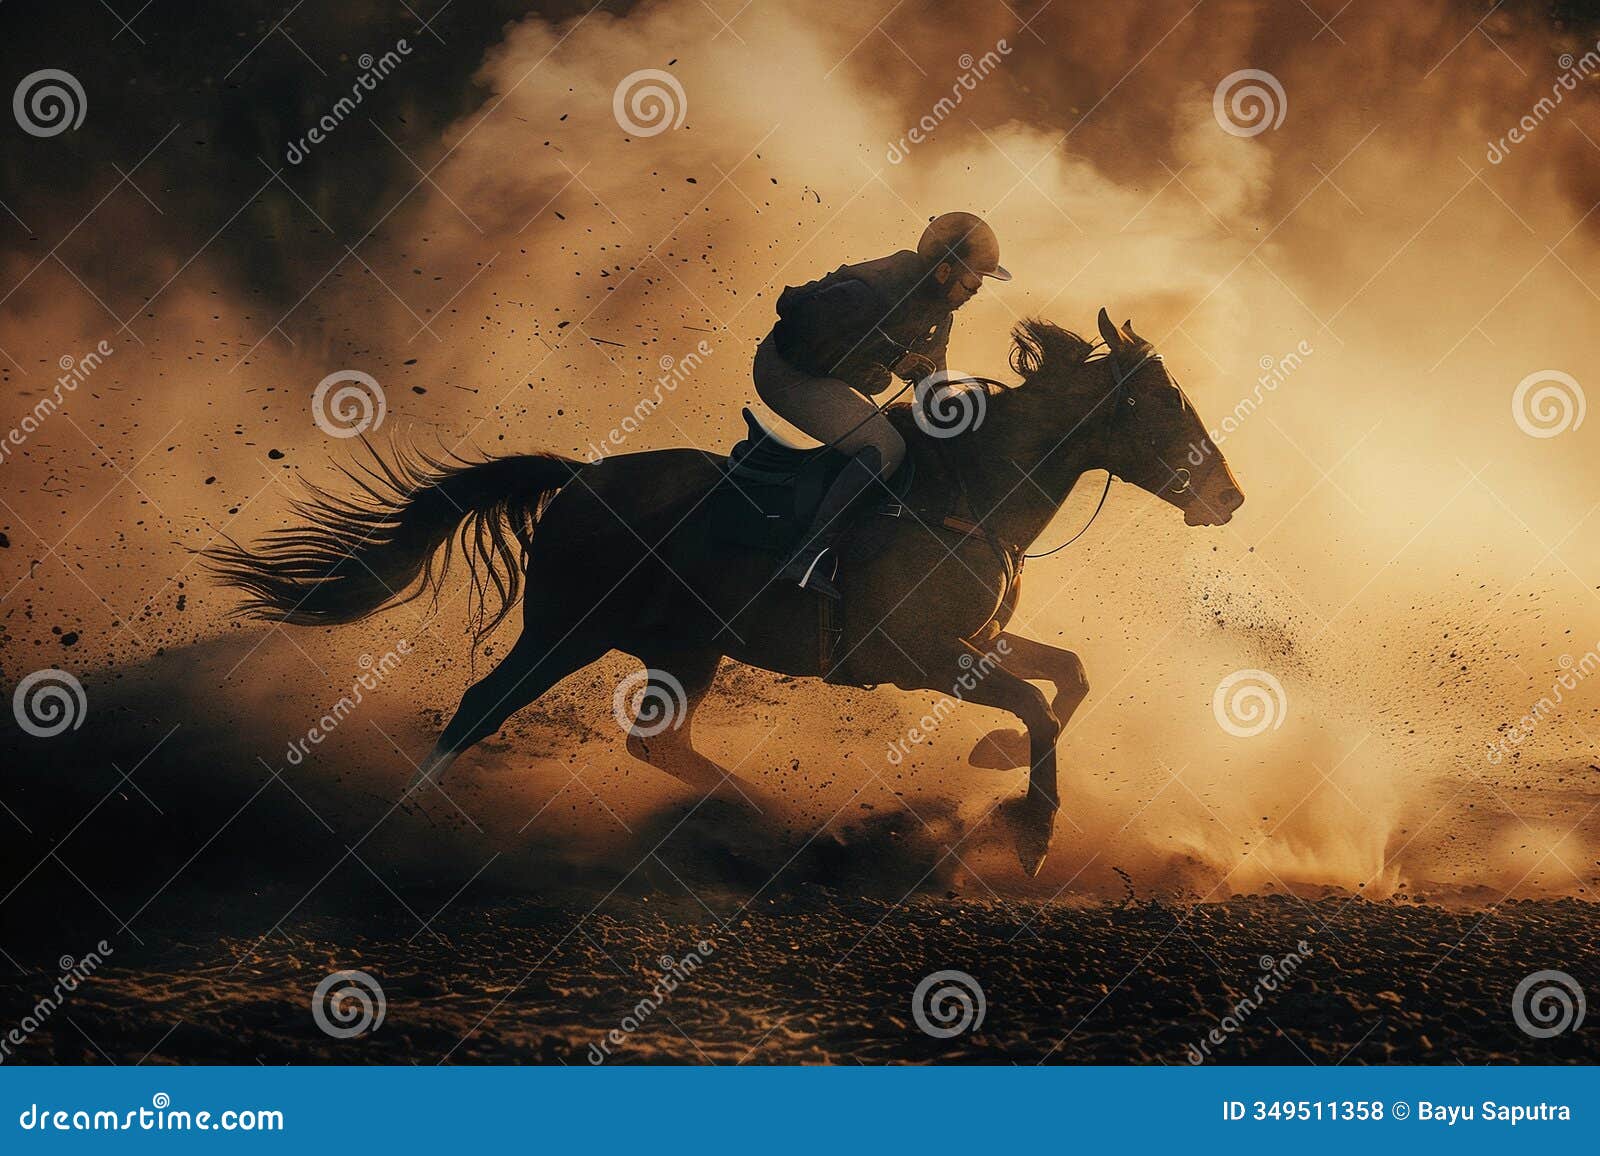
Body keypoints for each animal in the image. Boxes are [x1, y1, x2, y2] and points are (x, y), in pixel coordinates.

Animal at [207, 309, 1244, 876]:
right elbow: (1034, 700)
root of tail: (578, 478)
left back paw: (756, 815)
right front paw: (1029, 829)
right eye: (1163, 402)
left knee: (657, 744)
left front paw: (993, 765)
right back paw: (407, 823)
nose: (1228, 496)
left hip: (685, 648)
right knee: (478, 708)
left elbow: (1067, 676)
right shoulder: (919, 657)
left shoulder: (973, 644)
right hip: (566, 632)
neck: (965, 493)